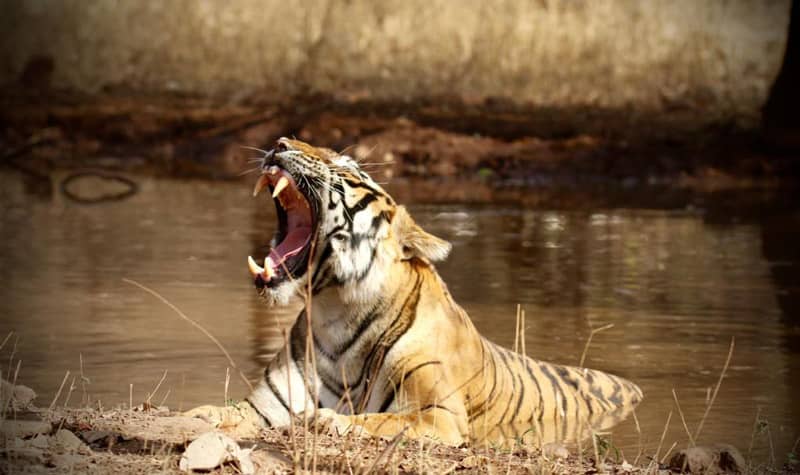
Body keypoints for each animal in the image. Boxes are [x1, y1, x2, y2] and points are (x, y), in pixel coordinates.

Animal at [186, 137, 643, 446]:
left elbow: (384, 420)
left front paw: (330, 421)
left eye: (344, 165)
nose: (279, 143)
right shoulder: (264, 408)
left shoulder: (439, 415)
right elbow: (220, 412)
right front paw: (195, 414)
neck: (336, 313)